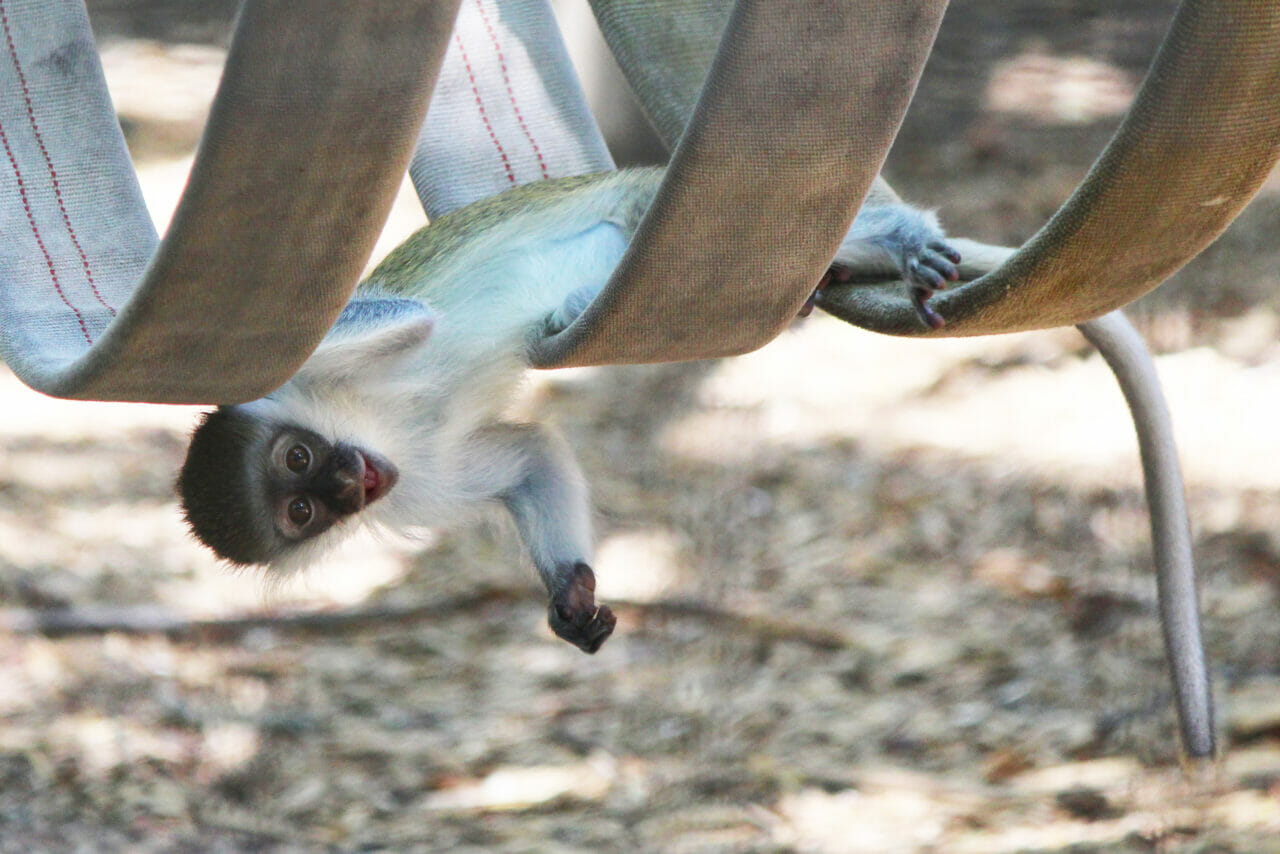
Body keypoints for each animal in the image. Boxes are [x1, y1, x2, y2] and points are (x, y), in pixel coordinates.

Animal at [177, 166, 960, 654]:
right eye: (301, 511)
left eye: (298, 456)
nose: (343, 484)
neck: (372, 427)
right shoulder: (413, 485)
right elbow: (528, 457)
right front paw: (570, 593)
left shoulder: (324, 362)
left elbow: (405, 315)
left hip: (664, 210)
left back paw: (903, 238)